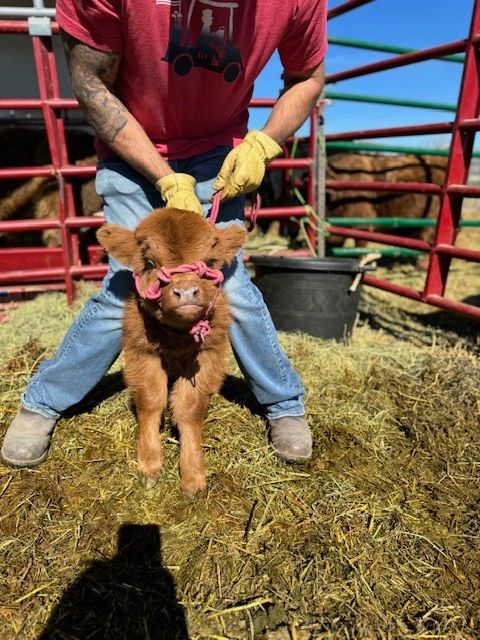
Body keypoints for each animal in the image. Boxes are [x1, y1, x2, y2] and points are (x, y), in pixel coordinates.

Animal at [96, 208, 247, 496]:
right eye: (150, 263)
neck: (177, 337)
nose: (186, 291)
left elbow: (189, 407)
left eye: (209, 262)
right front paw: (149, 464)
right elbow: (151, 399)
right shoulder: (141, 352)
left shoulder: (208, 355)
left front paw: (193, 476)